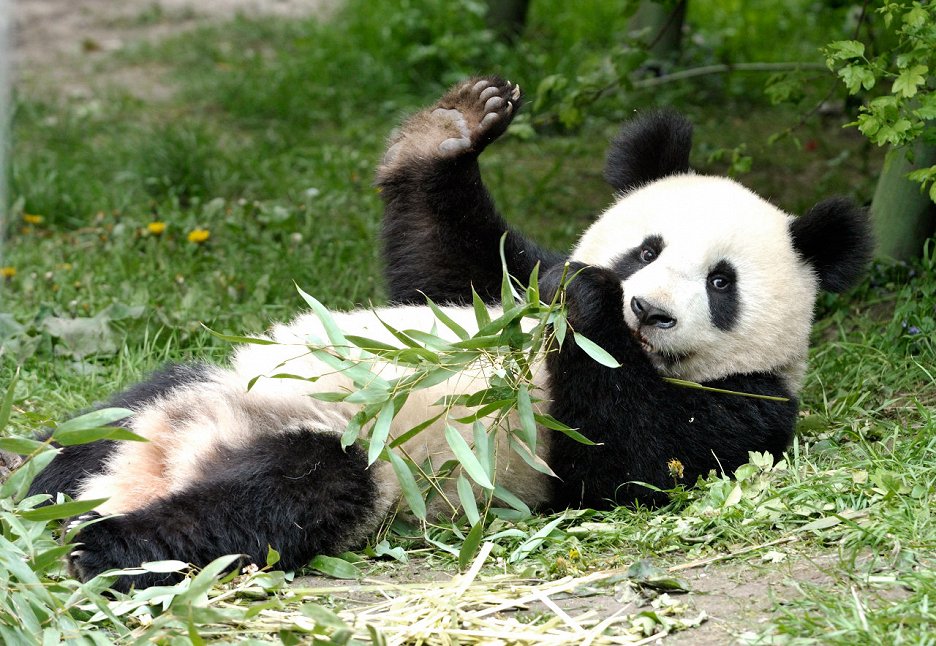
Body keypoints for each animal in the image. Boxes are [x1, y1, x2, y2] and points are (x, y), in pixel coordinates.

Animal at [14, 76, 872, 591]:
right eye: (648, 249)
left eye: (721, 283)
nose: (649, 310)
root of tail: (163, 461)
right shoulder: (507, 286)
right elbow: (444, 268)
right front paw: (455, 123)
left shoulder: (747, 405)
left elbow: (632, 455)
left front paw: (591, 310)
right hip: (191, 389)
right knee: (97, 430)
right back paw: (37, 491)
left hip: (355, 464)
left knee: (282, 496)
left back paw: (109, 545)